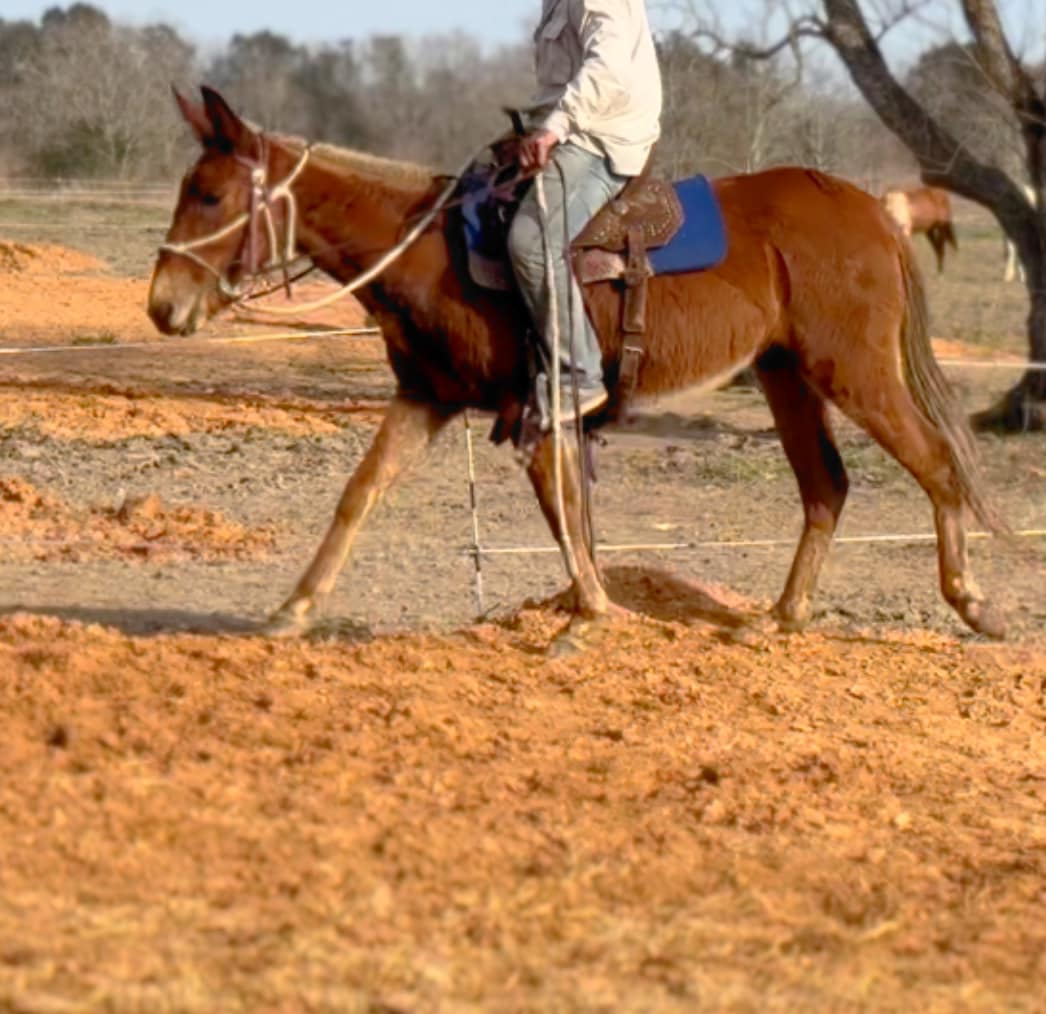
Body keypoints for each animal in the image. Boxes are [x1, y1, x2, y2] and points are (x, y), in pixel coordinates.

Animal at [148, 87, 1006, 643]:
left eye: (212, 195)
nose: (162, 305)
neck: (431, 250)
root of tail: (870, 210)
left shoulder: (543, 404)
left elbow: (563, 512)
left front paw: (593, 613)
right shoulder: (427, 397)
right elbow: (362, 493)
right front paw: (293, 609)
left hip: (855, 372)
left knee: (935, 463)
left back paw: (973, 603)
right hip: (785, 374)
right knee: (826, 486)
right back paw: (779, 619)